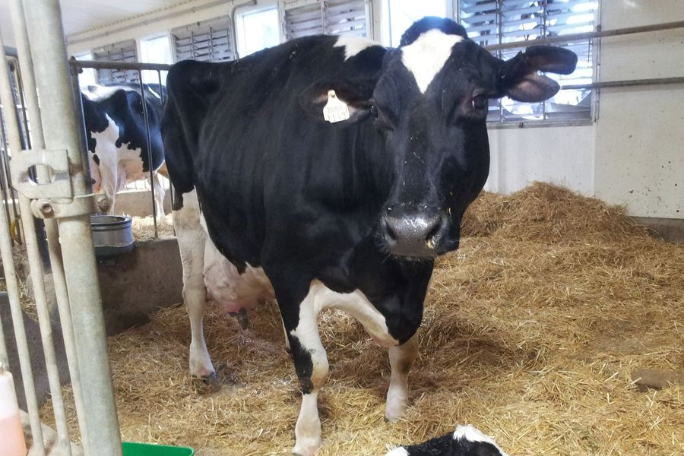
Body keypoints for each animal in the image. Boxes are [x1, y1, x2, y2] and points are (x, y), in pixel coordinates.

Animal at [162, 17, 576, 455]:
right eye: (376, 109)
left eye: (479, 100)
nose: (410, 227)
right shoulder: (287, 268)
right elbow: (313, 365)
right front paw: (307, 436)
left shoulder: (413, 276)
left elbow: (405, 349)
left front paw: (396, 407)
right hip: (184, 207)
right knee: (193, 293)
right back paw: (200, 365)